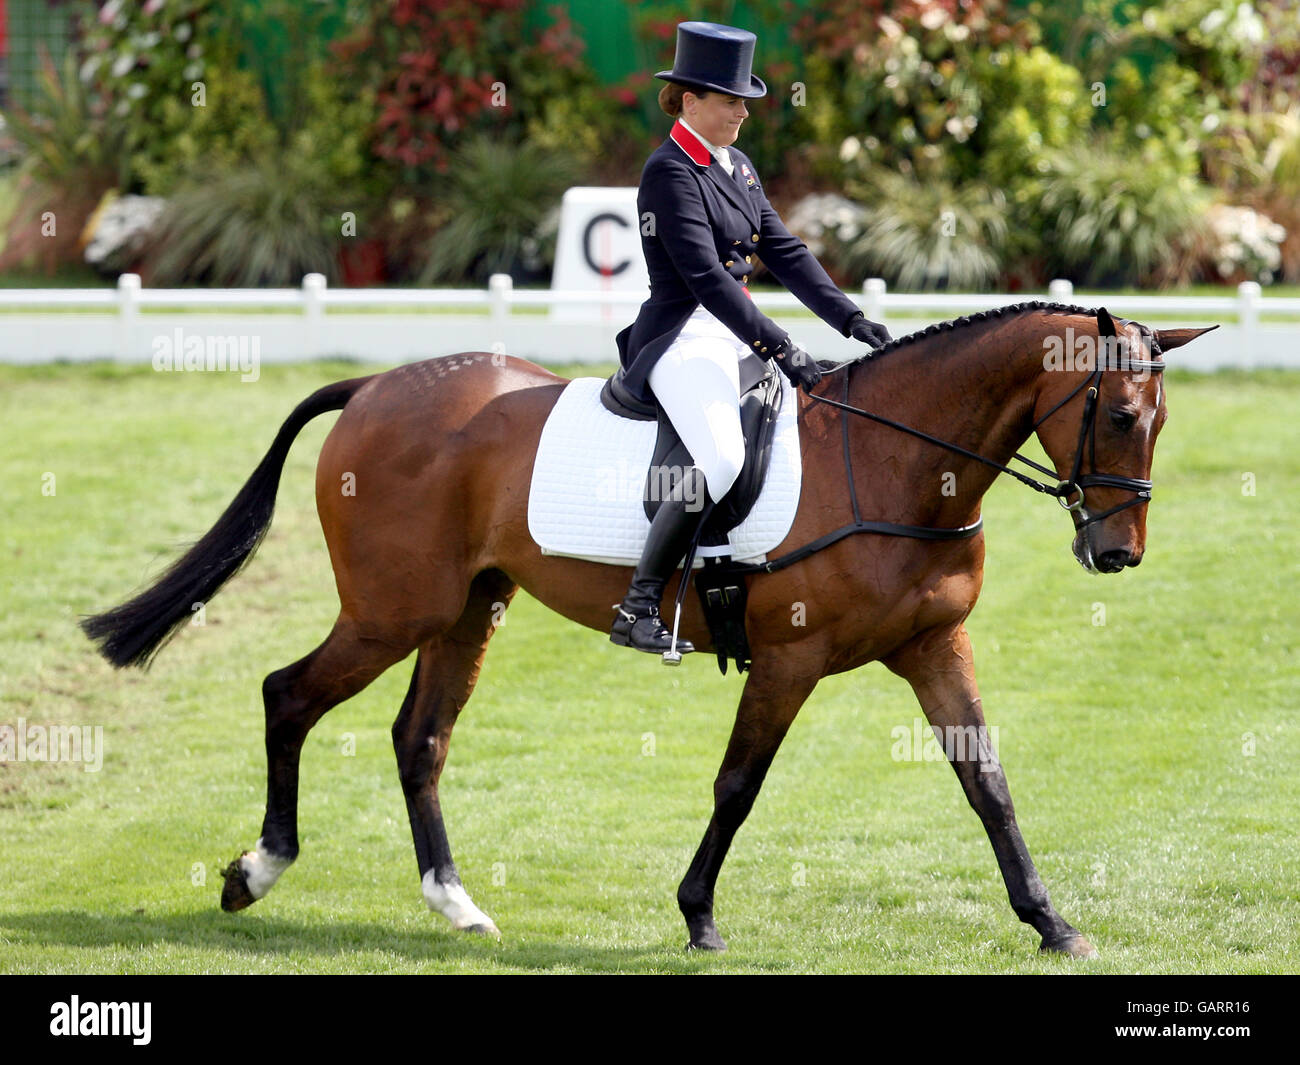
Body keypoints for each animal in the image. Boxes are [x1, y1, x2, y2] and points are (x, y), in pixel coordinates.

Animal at [81, 301, 1215, 957]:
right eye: (1120, 415)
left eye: (1161, 421)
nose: (1117, 553)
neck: (895, 462)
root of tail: (375, 388)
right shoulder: (791, 657)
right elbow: (739, 784)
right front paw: (698, 912)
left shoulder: (933, 647)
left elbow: (987, 781)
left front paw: (1052, 922)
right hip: (391, 610)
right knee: (290, 695)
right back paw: (256, 870)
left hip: (466, 607)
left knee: (420, 737)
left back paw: (456, 903)